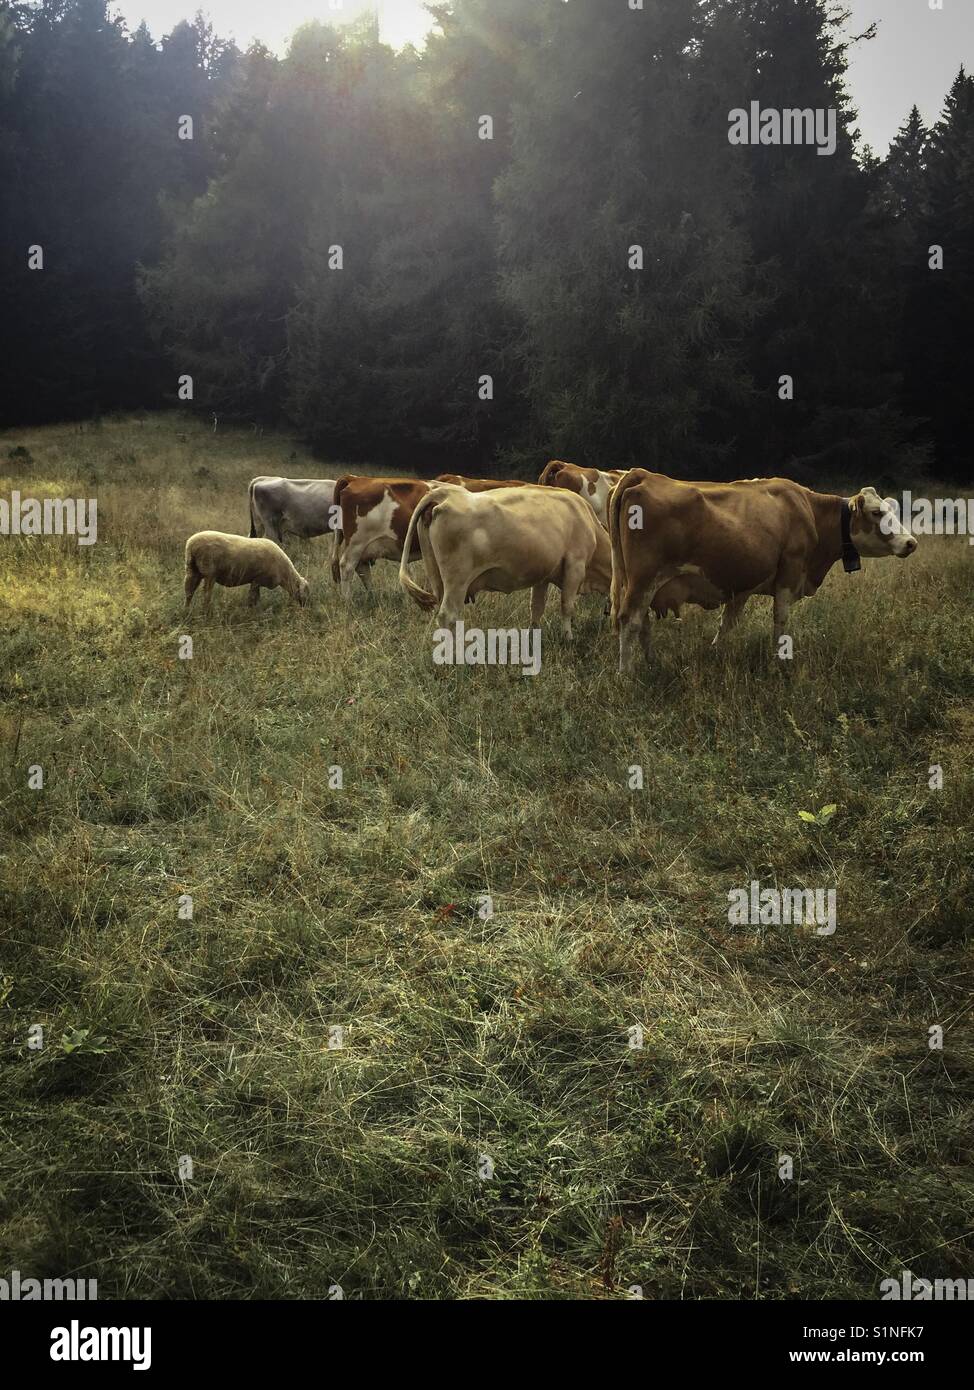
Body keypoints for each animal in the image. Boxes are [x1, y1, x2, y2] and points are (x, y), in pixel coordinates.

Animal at [399, 484, 611, 636]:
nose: (608, 615)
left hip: (436, 576)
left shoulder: (543, 576)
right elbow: (567, 607)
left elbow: (536, 608)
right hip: (457, 579)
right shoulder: (575, 565)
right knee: (448, 616)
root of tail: (447, 493)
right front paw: (568, 638)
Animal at [608, 472, 918, 673]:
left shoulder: (742, 586)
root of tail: (641, 475)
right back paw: (626, 674)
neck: (809, 511)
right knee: (630, 620)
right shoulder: (789, 573)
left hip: (638, 583)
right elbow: (780, 620)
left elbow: (727, 624)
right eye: (877, 513)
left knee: (642, 622)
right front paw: (779, 661)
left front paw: (715, 652)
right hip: (644, 579)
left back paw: (651, 663)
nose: (911, 542)